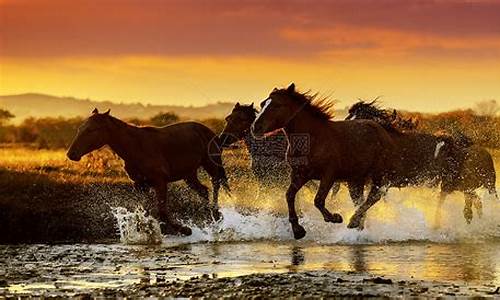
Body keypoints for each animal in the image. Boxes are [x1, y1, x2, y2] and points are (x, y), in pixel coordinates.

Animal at [66, 109, 230, 236]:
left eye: (91, 130)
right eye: (80, 129)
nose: (71, 154)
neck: (135, 147)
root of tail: (209, 132)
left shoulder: (160, 181)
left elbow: (162, 212)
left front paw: (185, 230)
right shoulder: (141, 185)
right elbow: (145, 213)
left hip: (210, 164)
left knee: (215, 184)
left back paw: (217, 215)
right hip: (189, 175)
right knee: (204, 191)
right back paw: (211, 219)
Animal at [250, 83, 398, 238]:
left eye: (277, 105)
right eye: (263, 103)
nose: (255, 128)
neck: (313, 139)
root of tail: (382, 130)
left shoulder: (328, 175)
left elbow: (318, 200)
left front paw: (335, 218)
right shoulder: (300, 174)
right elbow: (289, 195)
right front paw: (298, 230)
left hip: (377, 174)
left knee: (374, 196)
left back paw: (353, 221)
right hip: (355, 179)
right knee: (360, 200)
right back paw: (357, 225)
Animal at [346, 101, 498, 225]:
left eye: (359, 121)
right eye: (349, 118)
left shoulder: (382, 184)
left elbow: (367, 203)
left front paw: (353, 223)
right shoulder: (362, 182)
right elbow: (361, 203)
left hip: (463, 184)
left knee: (481, 198)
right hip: (455, 185)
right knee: (474, 199)